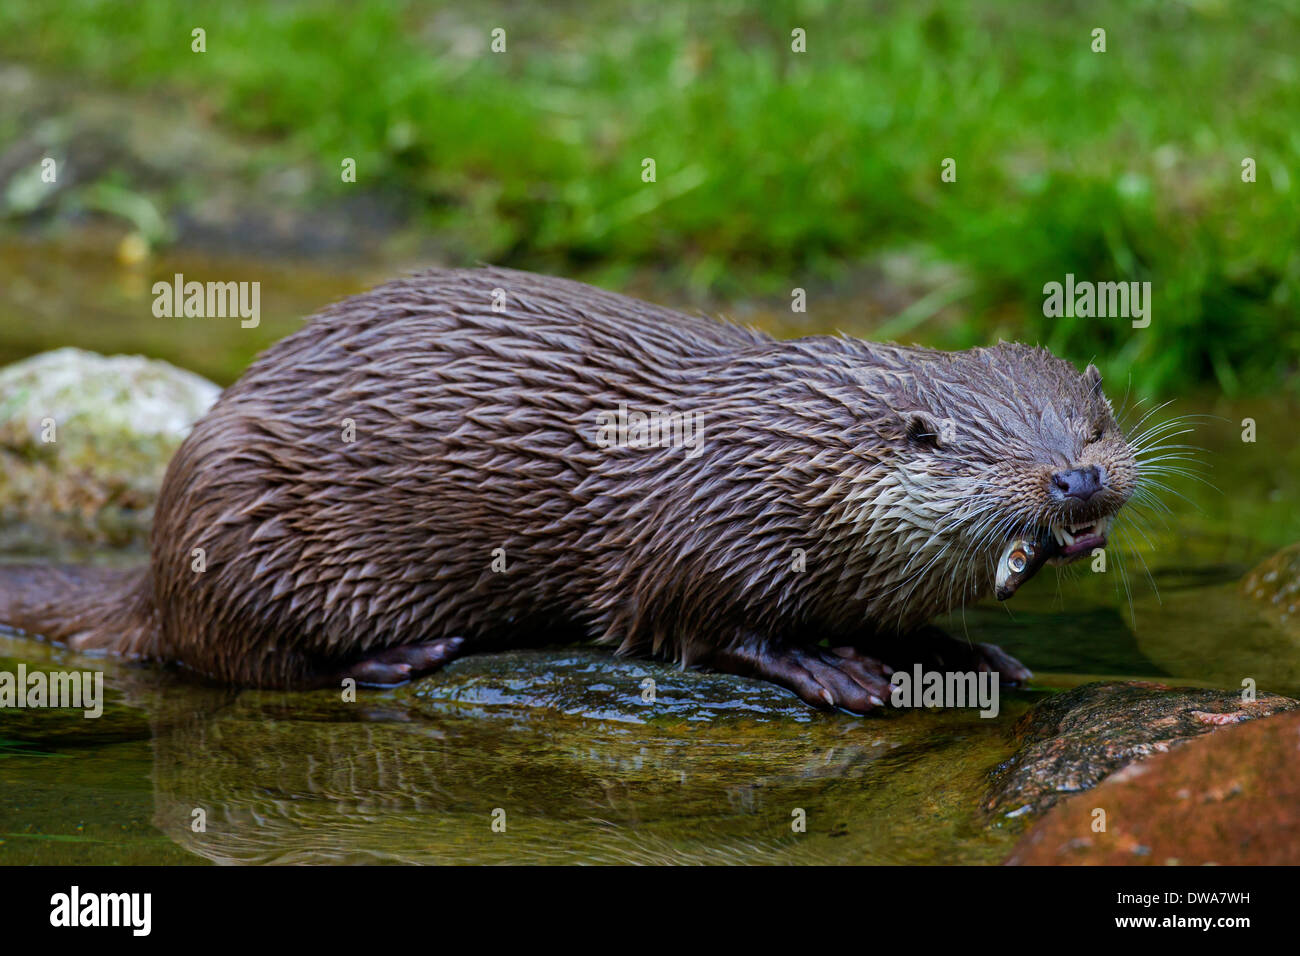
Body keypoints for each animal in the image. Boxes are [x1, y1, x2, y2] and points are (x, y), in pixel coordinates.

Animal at [0, 268, 1140, 713]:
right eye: (996, 451)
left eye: (1092, 422)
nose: (1077, 477)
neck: (793, 458)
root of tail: (152, 557)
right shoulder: (705, 528)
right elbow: (700, 620)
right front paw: (832, 665)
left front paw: (967, 654)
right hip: (243, 513)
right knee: (236, 655)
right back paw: (393, 656)